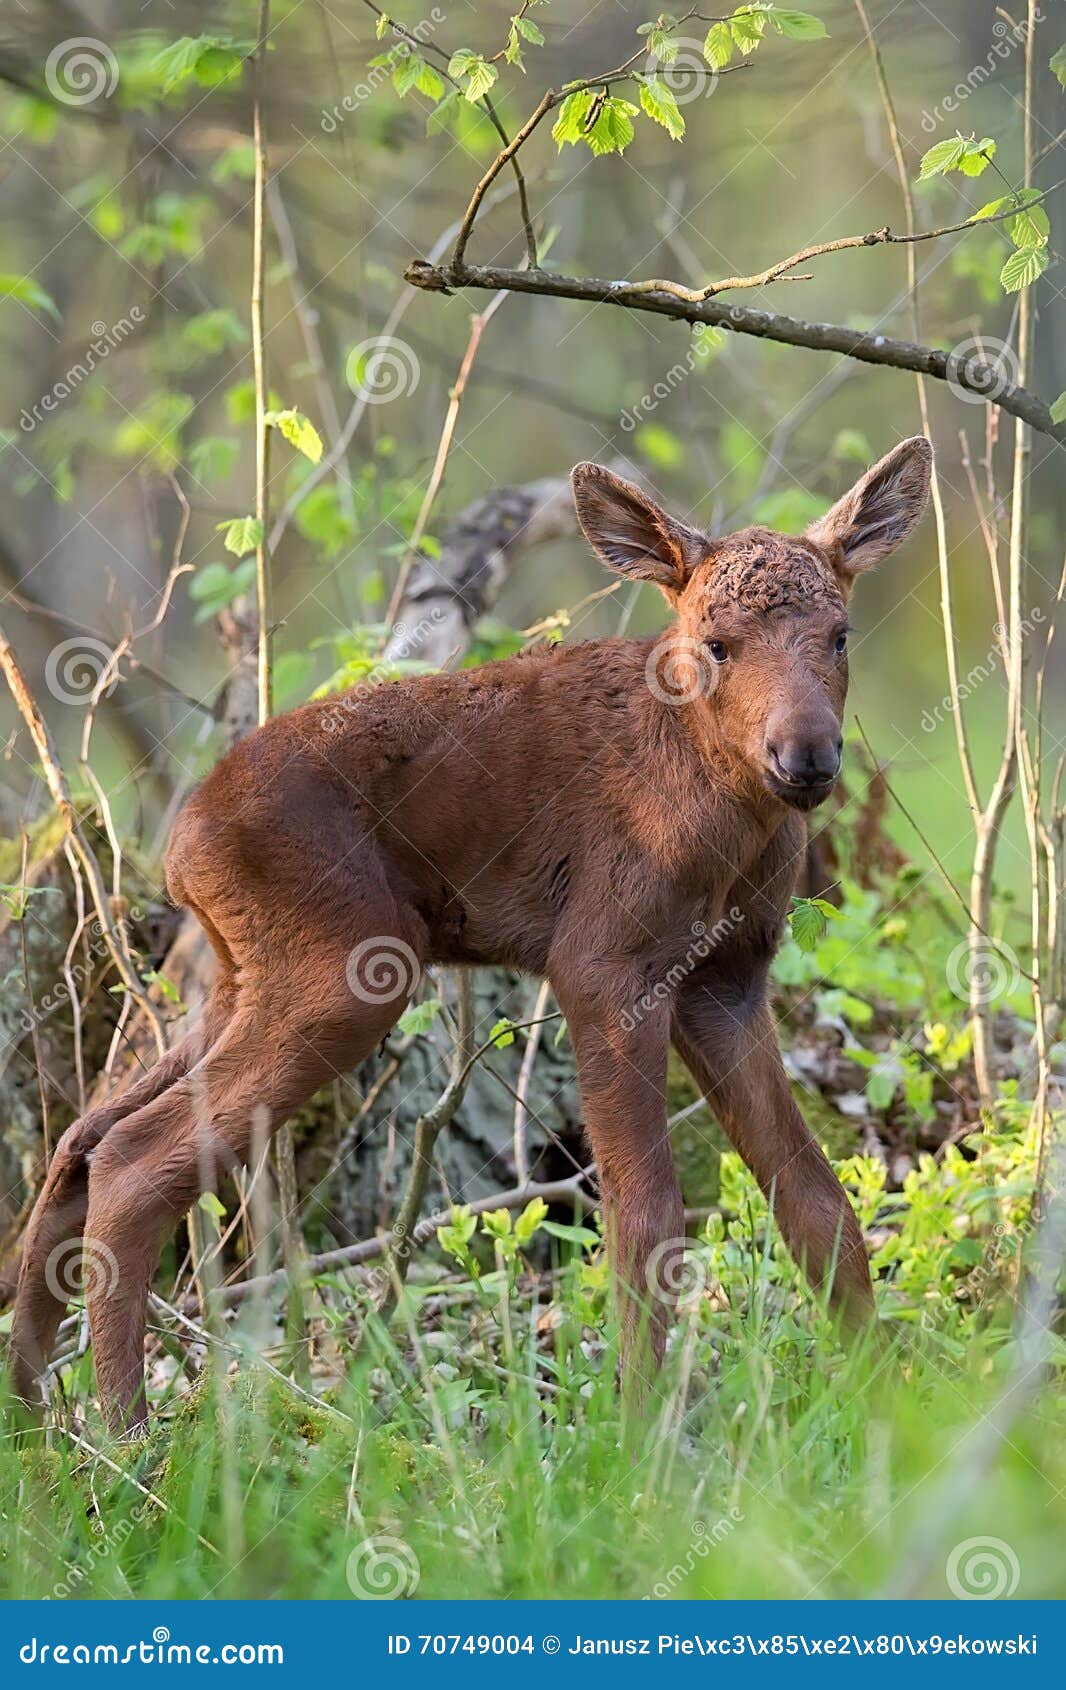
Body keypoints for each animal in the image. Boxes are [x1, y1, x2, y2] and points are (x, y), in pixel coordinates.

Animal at [9, 436, 932, 1433]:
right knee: (132, 1159)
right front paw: (640, 1430)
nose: (806, 757)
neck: (727, 824)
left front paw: (889, 1401)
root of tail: (181, 847)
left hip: (240, 977)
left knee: (83, 1138)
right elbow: (646, 1216)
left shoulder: (726, 982)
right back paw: (125, 1430)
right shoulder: (601, 962)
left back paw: (33, 1413)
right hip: (342, 972)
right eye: (715, 643)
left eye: (840, 634)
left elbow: (814, 1199)